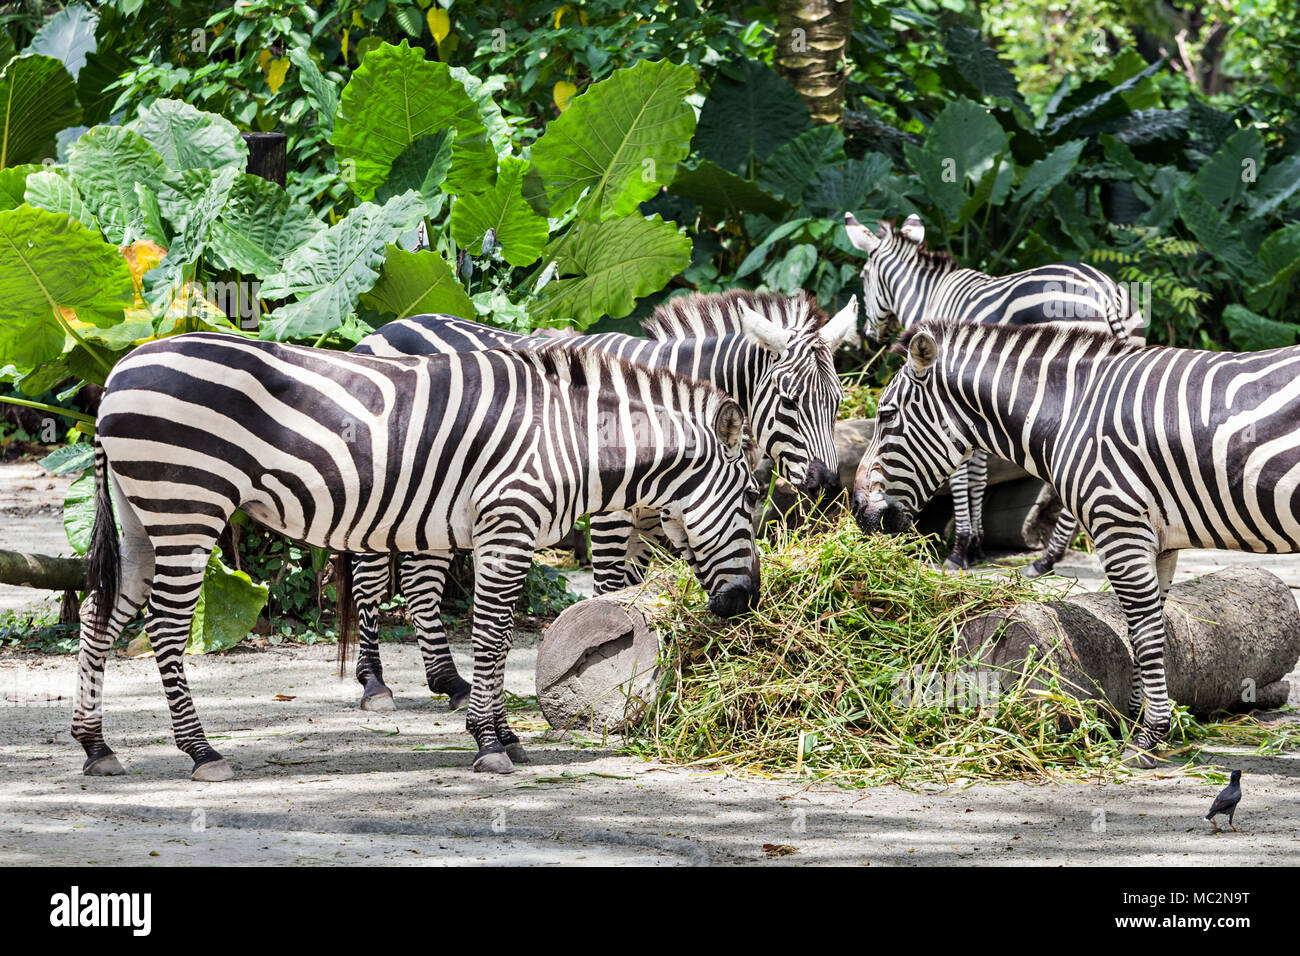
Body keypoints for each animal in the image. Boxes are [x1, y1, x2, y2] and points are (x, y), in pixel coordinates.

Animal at [74, 332, 761, 779]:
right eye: (754, 498)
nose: (746, 603)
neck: (569, 439)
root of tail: (118, 369)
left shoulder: (495, 537)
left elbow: (495, 644)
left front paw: (503, 736)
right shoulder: (506, 527)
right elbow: (492, 639)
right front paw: (490, 743)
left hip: (143, 518)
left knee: (96, 616)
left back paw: (96, 748)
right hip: (187, 507)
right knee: (165, 628)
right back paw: (201, 753)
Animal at [345, 290, 857, 711]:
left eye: (837, 402)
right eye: (789, 401)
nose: (827, 486)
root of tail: (389, 325)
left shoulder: (655, 516)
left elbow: (636, 585)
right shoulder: (612, 510)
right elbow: (609, 585)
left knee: (419, 583)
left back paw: (450, 682)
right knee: (371, 579)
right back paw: (375, 683)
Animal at [843, 212, 1144, 573]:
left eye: (863, 276)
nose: (867, 339)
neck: (928, 293)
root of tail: (1106, 292)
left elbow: (960, 478)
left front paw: (960, 550)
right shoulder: (976, 411)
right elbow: (979, 475)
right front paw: (977, 545)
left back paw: (1047, 557)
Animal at [851, 318, 1300, 765]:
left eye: (886, 415)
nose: (857, 510)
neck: (1071, 413)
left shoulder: (1118, 525)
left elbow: (1145, 635)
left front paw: (1145, 738)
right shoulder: (1159, 541)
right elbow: (1149, 632)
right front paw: (1134, 721)